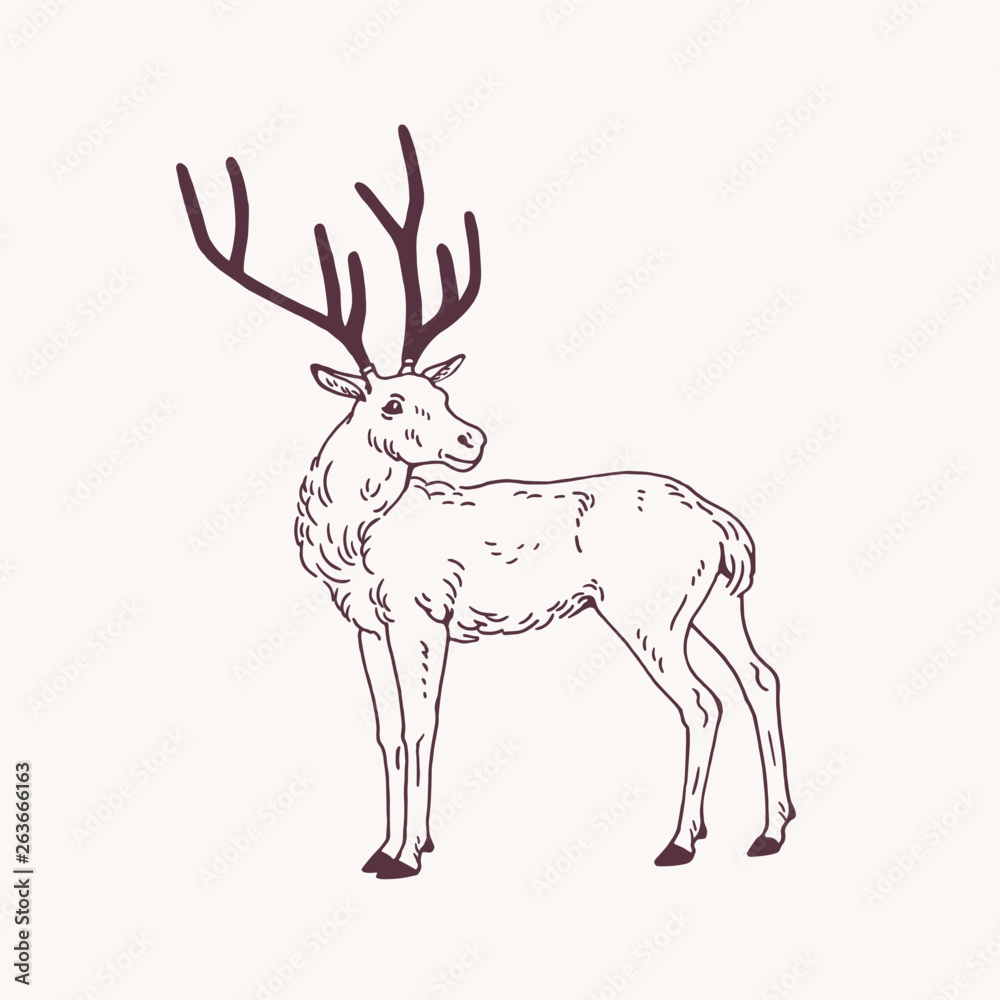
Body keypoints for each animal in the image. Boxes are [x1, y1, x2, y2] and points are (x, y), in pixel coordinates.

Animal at [176, 126, 794, 879]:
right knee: (760, 678)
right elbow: (387, 731)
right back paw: (769, 831)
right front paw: (384, 846)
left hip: (650, 610)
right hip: (714, 605)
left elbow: (423, 724)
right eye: (392, 402)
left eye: (438, 392)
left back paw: (680, 842)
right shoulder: (366, 625)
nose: (473, 438)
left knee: (703, 702)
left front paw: (406, 855)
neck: (354, 545)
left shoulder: (424, 612)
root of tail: (726, 527)